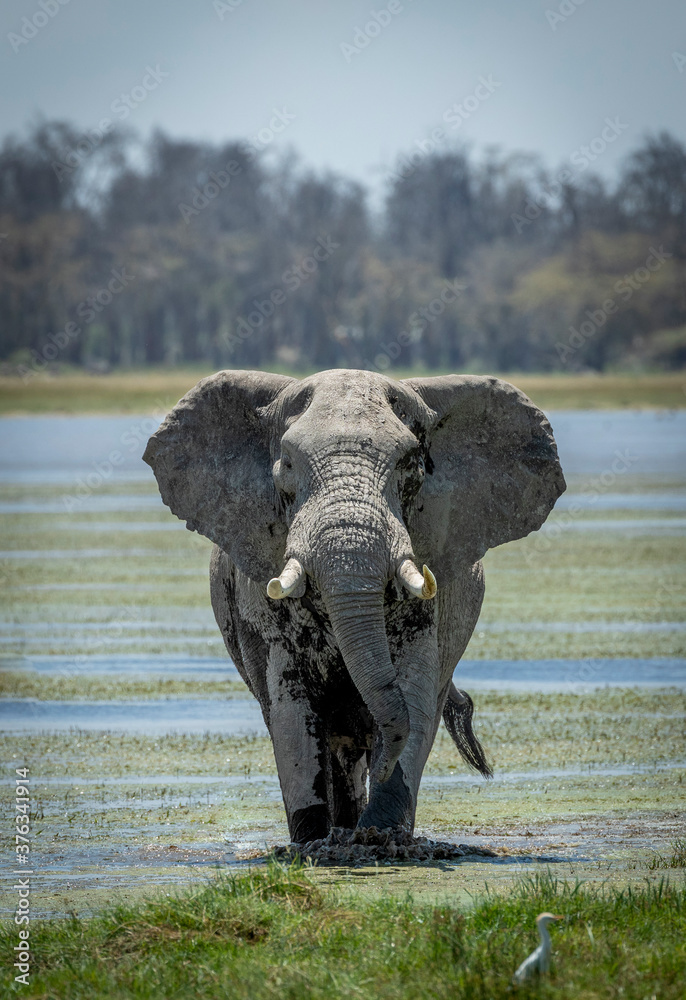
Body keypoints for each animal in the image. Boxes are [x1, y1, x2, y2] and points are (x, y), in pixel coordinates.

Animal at [143, 368, 565, 843]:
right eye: (287, 464)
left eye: (409, 464)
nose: (383, 767)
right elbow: (290, 709)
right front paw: (313, 842)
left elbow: (415, 692)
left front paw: (381, 837)